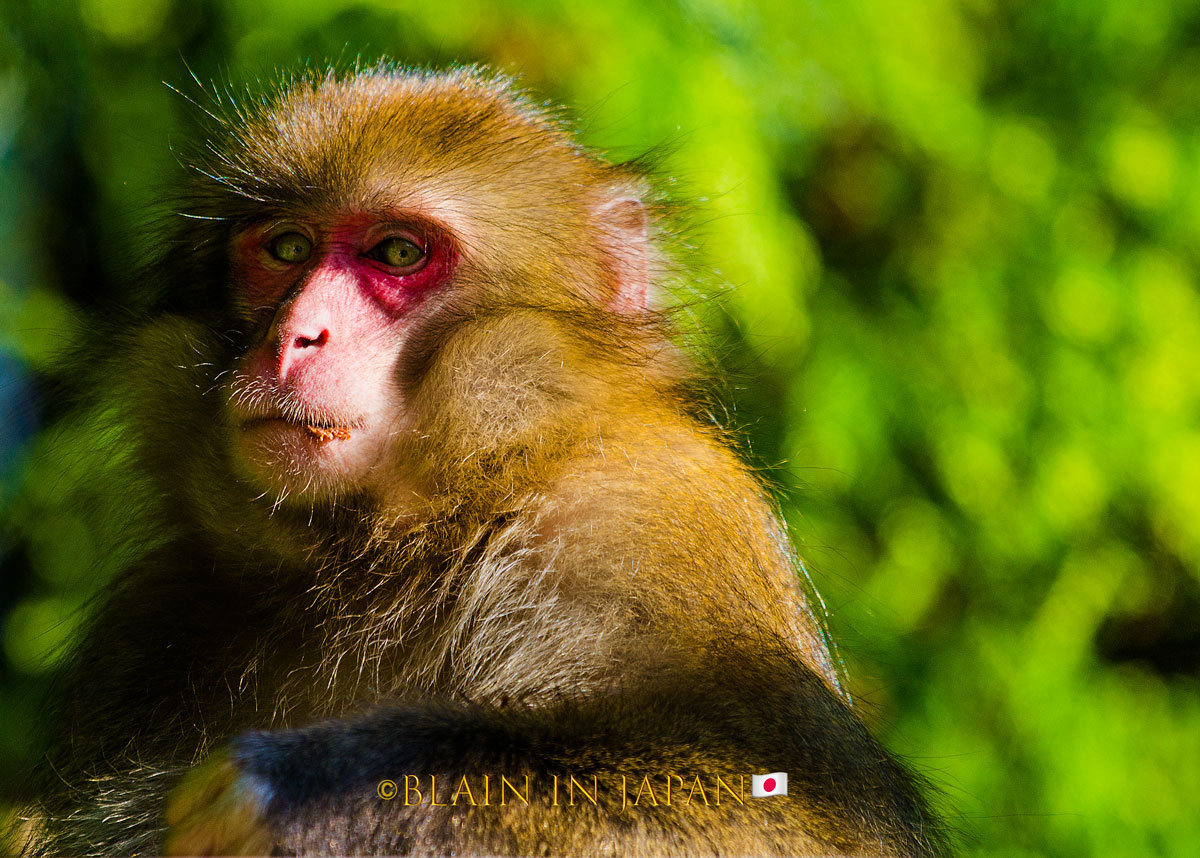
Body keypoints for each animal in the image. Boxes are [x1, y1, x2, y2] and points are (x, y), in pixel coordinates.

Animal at [14, 65, 949, 857]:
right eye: (285, 249)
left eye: (397, 253)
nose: (294, 336)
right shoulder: (146, 619)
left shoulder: (651, 515)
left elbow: (798, 812)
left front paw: (316, 791)